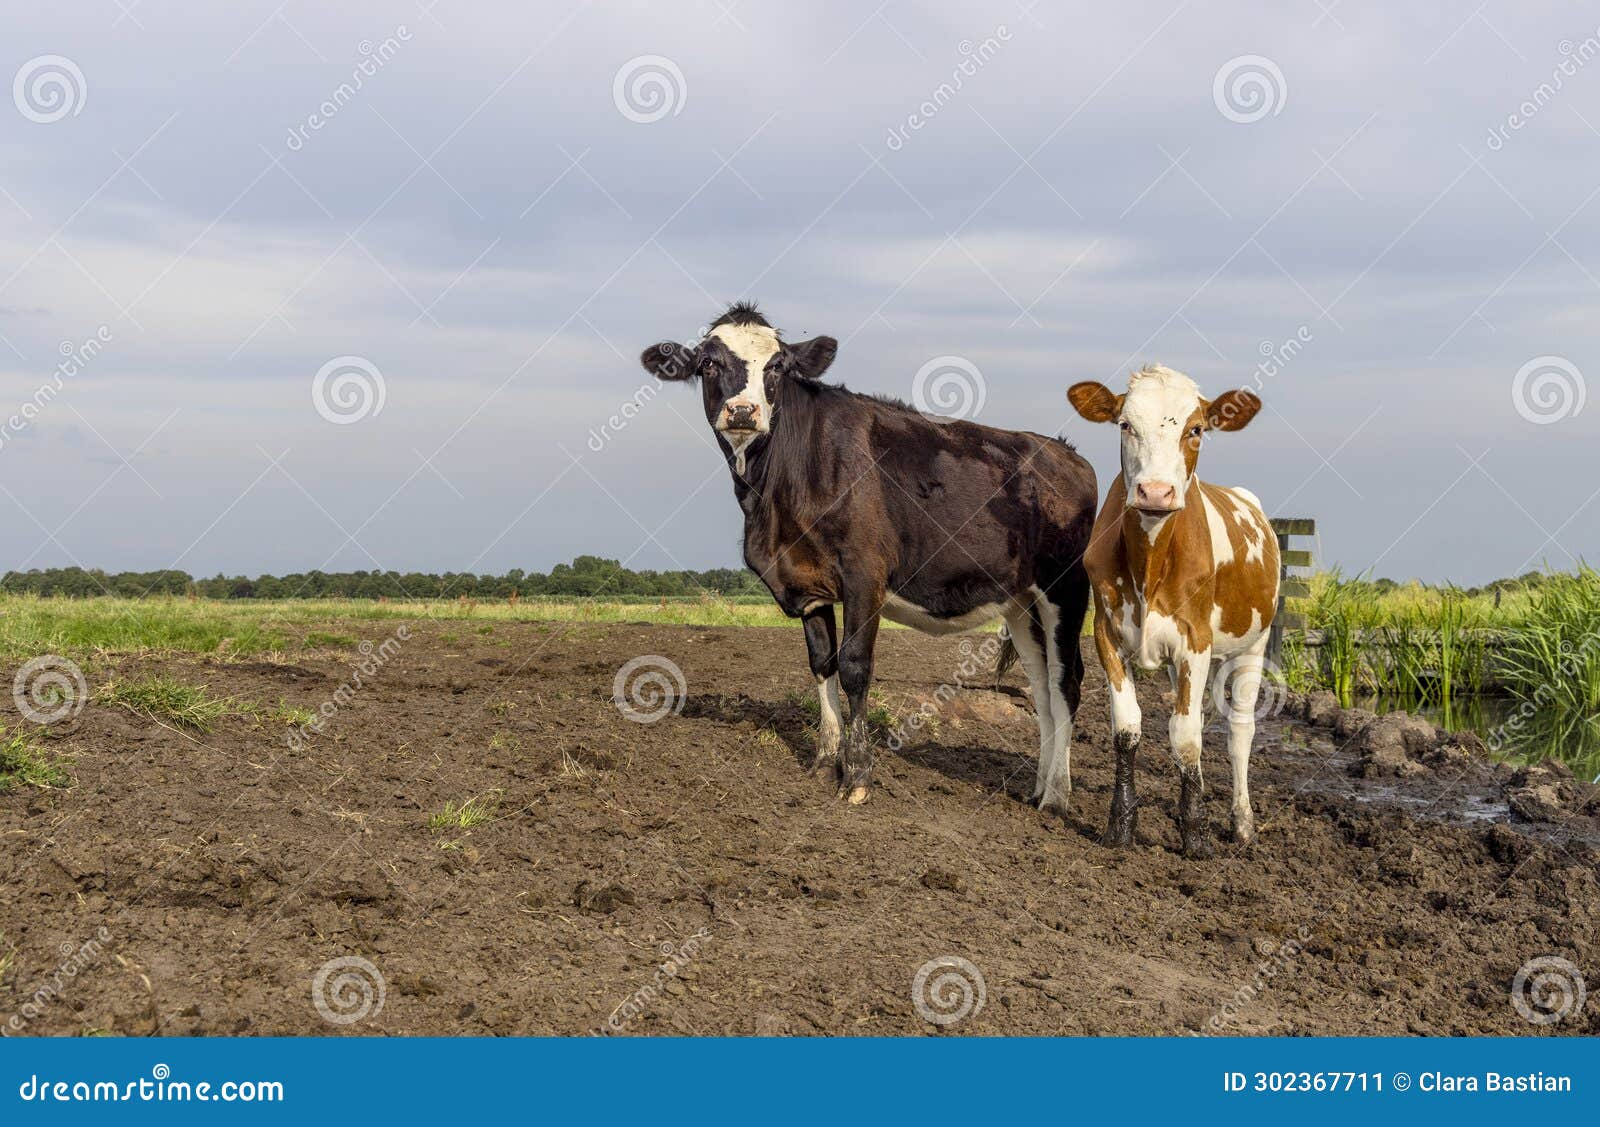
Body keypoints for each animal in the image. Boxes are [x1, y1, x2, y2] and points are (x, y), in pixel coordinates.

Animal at [640, 302, 1098, 809]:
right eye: (707, 363)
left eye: (776, 366)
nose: (743, 411)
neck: (773, 497)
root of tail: (1067, 453)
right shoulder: (807, 584)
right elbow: (822, 664)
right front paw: (825, 761)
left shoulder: (865, 575)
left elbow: (855, 667)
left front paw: (857, 774)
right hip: (1021, 601)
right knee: (1042, 685)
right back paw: (1037, 788)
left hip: (1066, 587)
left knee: (1067, 680)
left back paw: (1056, 795)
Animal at [1067, 365, 1278, 858]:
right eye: (1125, 424)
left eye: (1196, 429)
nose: (1156, 491)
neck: (1150, 561)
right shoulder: (1106, 633)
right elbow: (1128, 728)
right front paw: (1120, 827)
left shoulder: (1195, 641)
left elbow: (1186, 740)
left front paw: (1196, 838)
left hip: (1253, 645)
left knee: (1239, 732)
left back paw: (1242, 825)